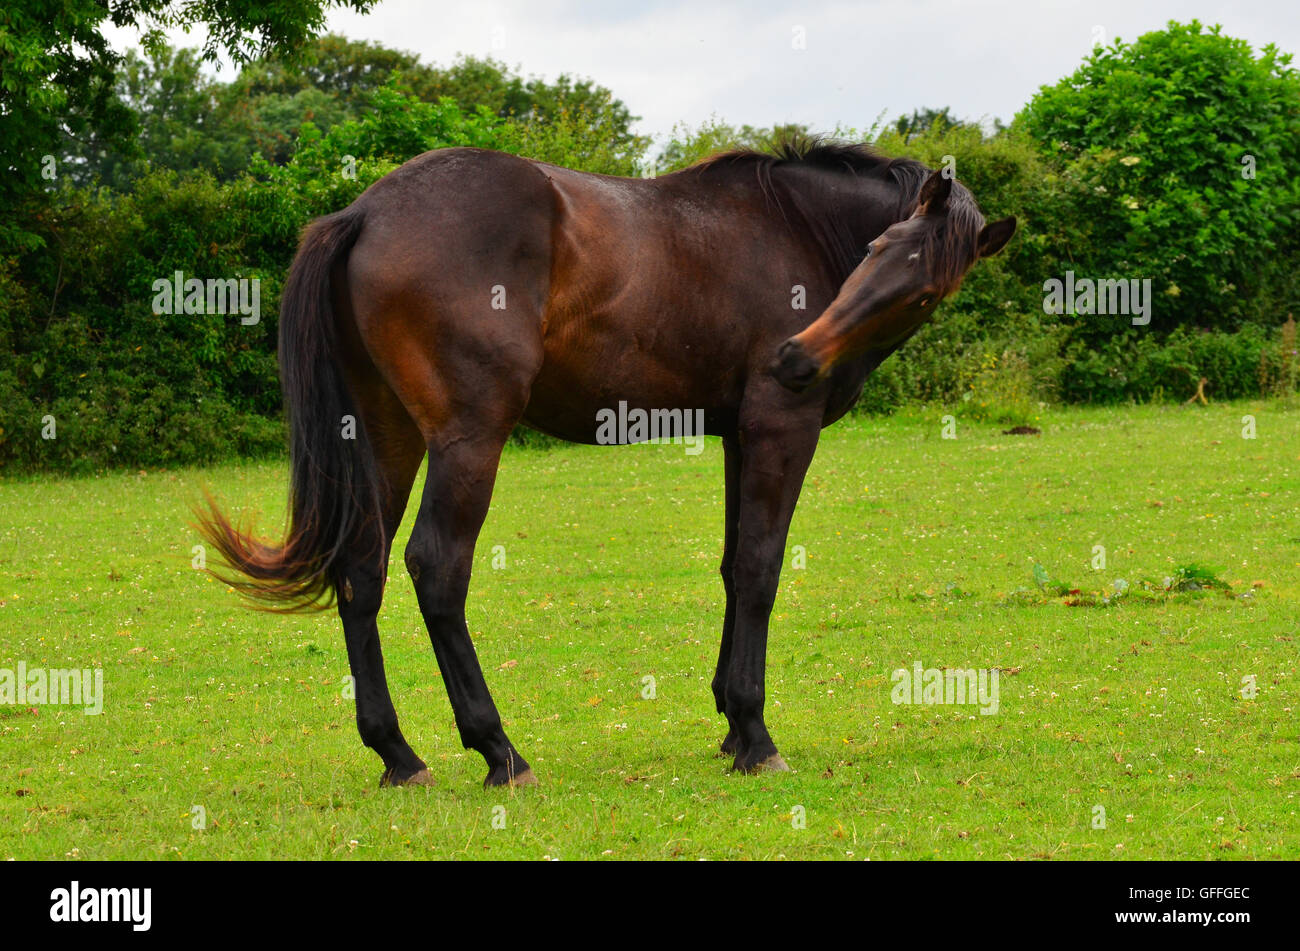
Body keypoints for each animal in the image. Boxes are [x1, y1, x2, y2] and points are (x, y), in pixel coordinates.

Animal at [198, 139, 1016, 788]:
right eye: (877, 251)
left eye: (923, 292)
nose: (796, 360)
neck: (796, 226)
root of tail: (366, 212)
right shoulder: (780, 426)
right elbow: (759, 568)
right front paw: (756, 735)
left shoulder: (739, 435)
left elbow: (732, 566)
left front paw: (729, 723)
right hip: (467, 441)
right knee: (436, 568)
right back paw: (499, 751)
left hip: (385, 435)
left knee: (360, 571)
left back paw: (399, 755)